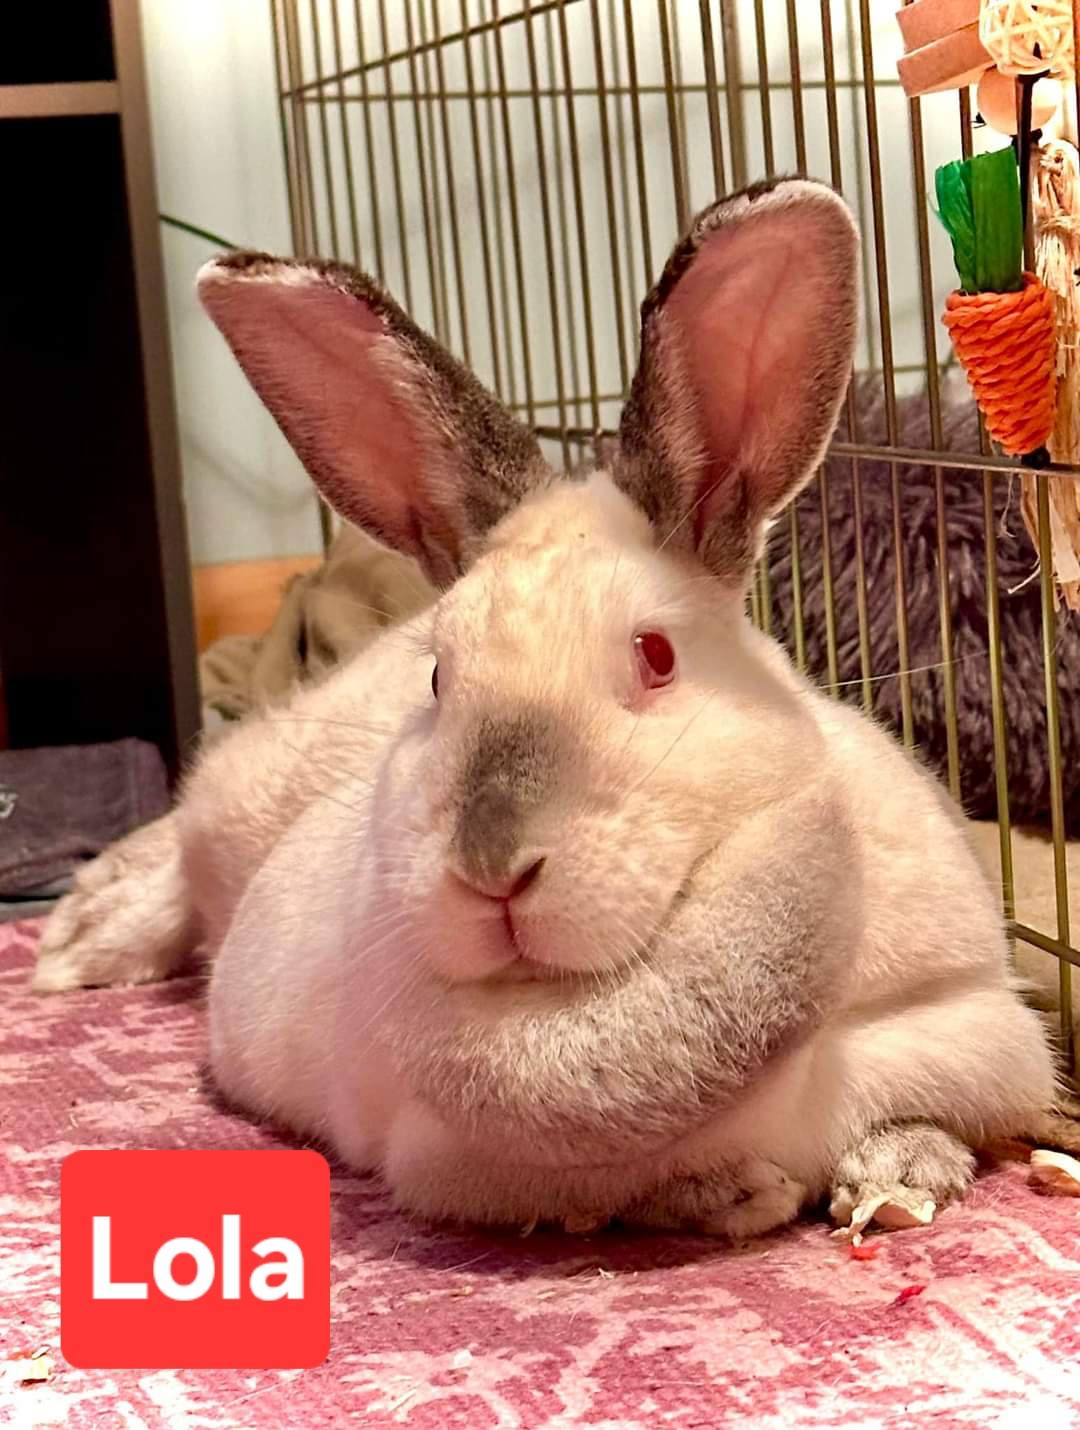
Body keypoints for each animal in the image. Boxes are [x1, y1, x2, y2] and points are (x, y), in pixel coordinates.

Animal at [33, 178, 1058, 1240]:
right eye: (437, 678)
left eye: (656, 656)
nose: (494, 869)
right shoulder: (464, 1166)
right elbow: (631, 1192)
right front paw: (738, 1193)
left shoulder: (972, 1020)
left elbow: (931, 1108)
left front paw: (894, 1180)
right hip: (241, 806)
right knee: (176, 860)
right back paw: (79, 944)